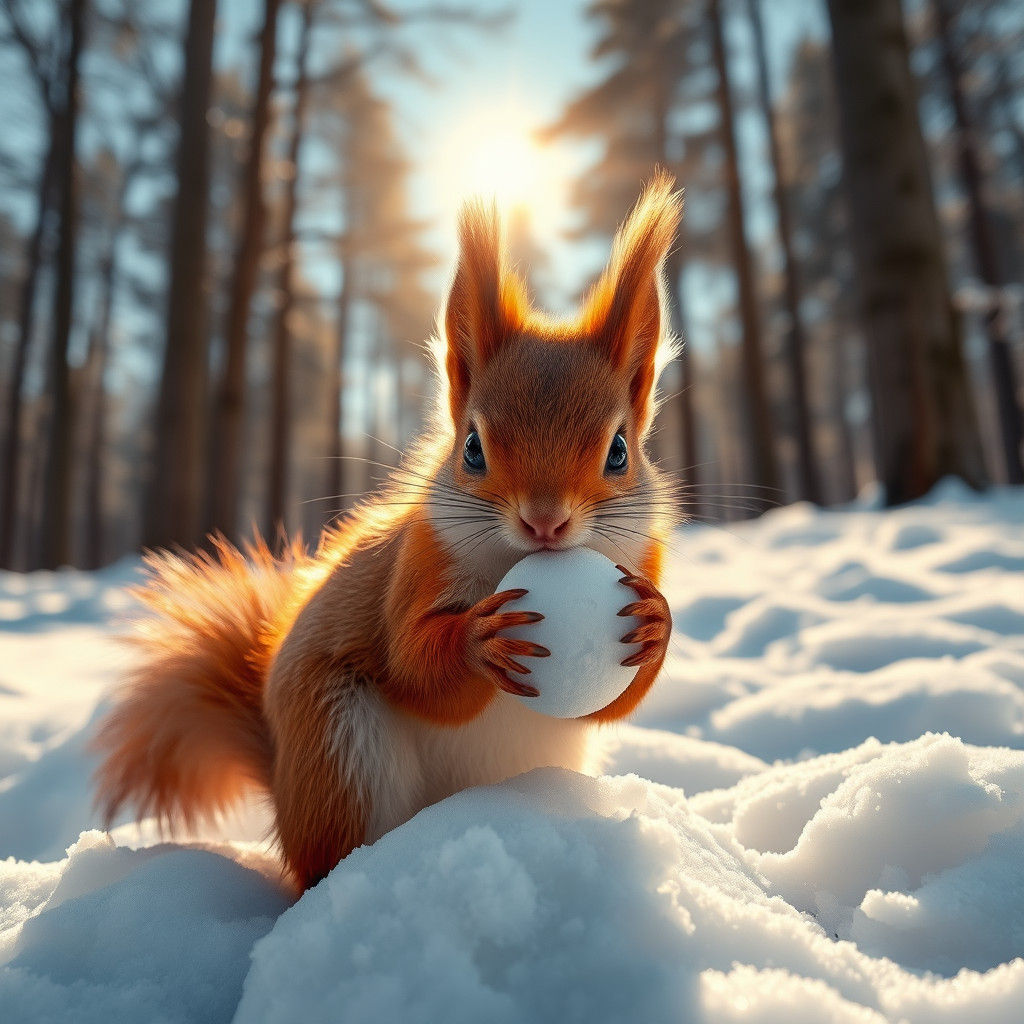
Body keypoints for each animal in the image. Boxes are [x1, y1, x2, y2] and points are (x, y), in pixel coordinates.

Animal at [94, 172, 681, 891]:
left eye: (619, 451)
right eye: (473, 449)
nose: (545, 520)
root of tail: (284, 790)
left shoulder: (641, 560)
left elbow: (614, 703)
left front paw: (657, 626)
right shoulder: (416, 565)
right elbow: (413, 663)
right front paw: (478, 641)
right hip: (342, 748)